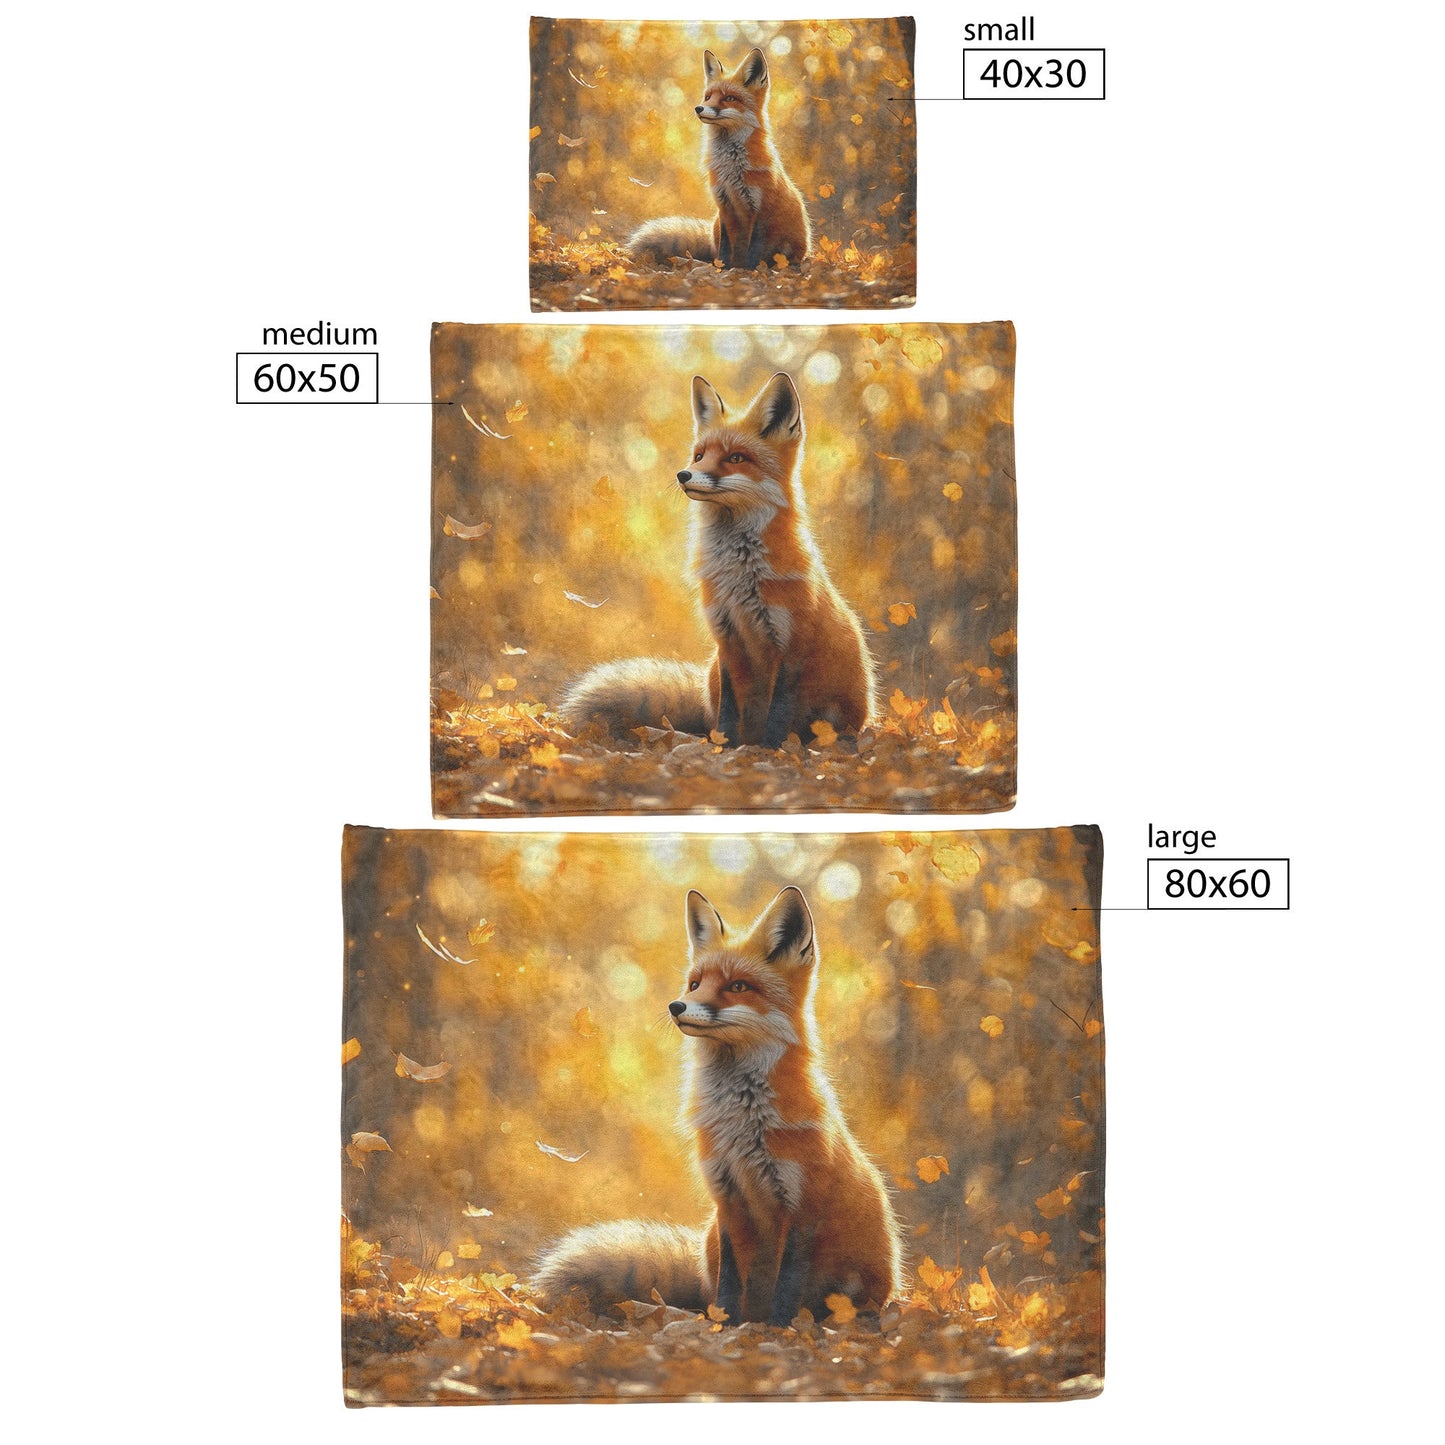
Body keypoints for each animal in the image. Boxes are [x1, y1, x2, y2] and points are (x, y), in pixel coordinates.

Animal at [532, 885, 904, 1324]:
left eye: (738, 986)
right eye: (695, 984)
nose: (676, 1006)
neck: (742, 1121)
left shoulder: (802, 1205)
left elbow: (788, 1283)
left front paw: (780, 1327)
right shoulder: (726, 1197)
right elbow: (729, 1279)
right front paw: (724, 1323)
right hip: (709, 1238)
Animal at [558, 371, 876, 748]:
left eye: (736, 458)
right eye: (699, 456)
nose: (683, 475)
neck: (740, 571)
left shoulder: (790, 644)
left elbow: (779, 711)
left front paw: (772, 749)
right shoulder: (726, 637)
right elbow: (728, 709)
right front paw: (724, 745)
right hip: (711, 674)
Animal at [628, 47, 812, 270]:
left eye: (729, 98)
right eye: (708, 97)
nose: (698, 108)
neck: (731, 167)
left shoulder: (760, 209)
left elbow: (753, 249)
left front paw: (749, 270)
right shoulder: (724, 205)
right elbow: (725, 247)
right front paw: (722, 267)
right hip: (715, 225)